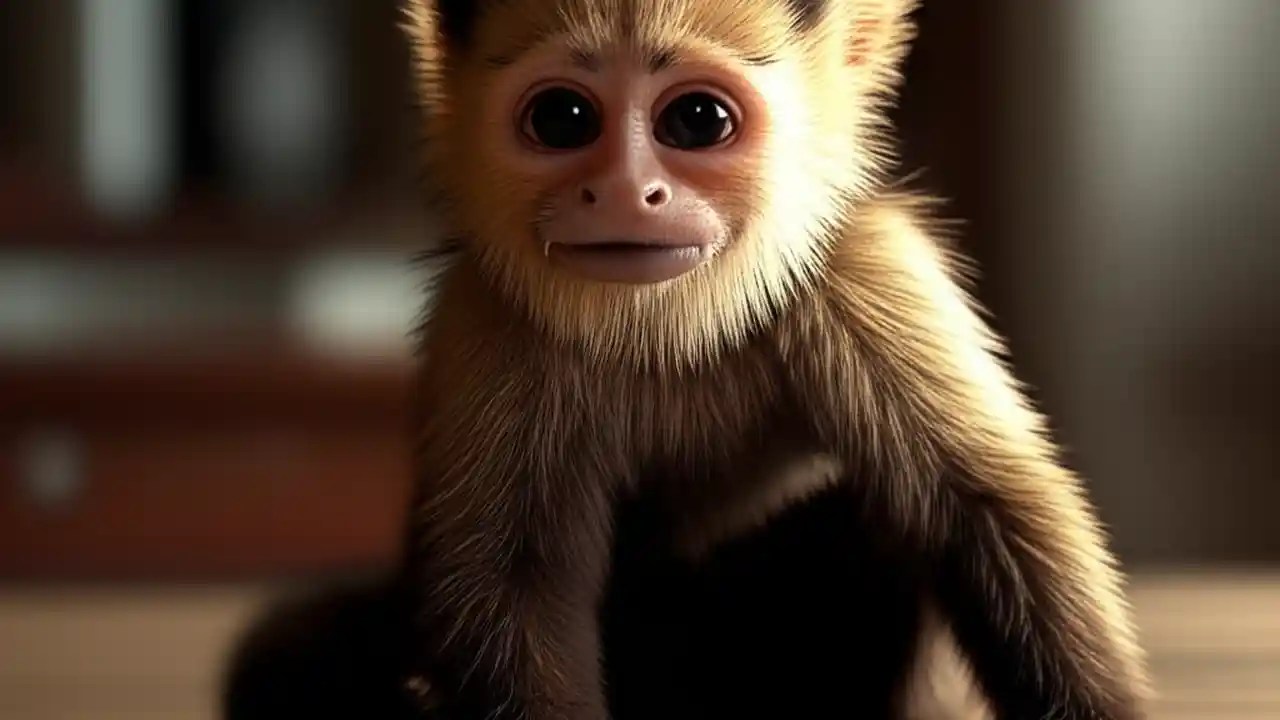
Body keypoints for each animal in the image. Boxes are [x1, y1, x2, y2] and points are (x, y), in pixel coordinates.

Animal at [222, 1, 1151, 718]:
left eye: (695, 120)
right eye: (563, 118)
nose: (628, 194)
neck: (664, 327)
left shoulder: (861, 270)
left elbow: (983, 507)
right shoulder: (488, 324)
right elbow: (510, 587)